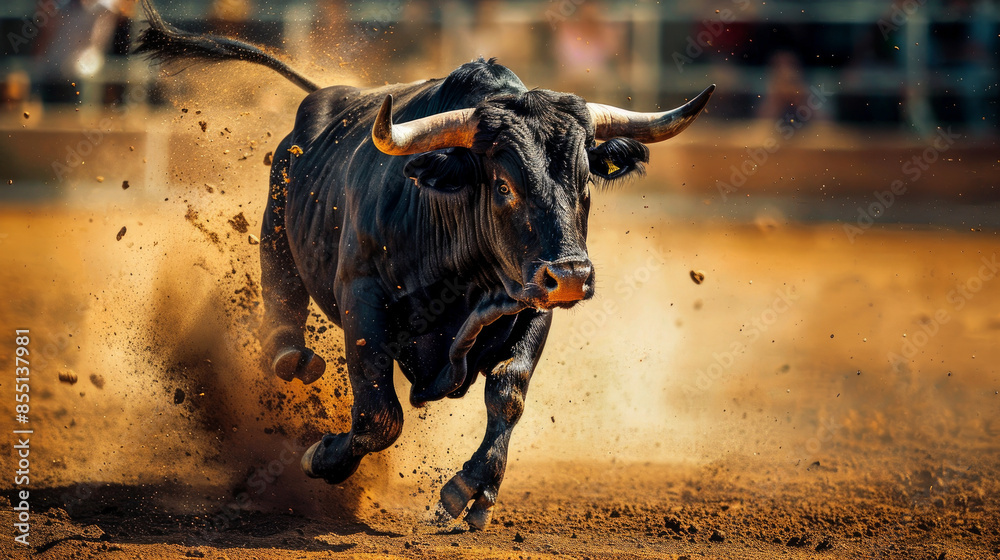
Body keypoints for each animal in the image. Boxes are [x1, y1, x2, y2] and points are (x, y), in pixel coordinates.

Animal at [135, 0, 713, 529]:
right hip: (276, 229)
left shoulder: (533, 302)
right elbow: (378, 415)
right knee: (282, 299)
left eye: (584, 181)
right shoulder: (362, 299)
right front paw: (322, 457)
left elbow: (508, 393)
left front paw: (472, 490)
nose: (572, 275)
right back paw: (290, 357)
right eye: (503, 185)